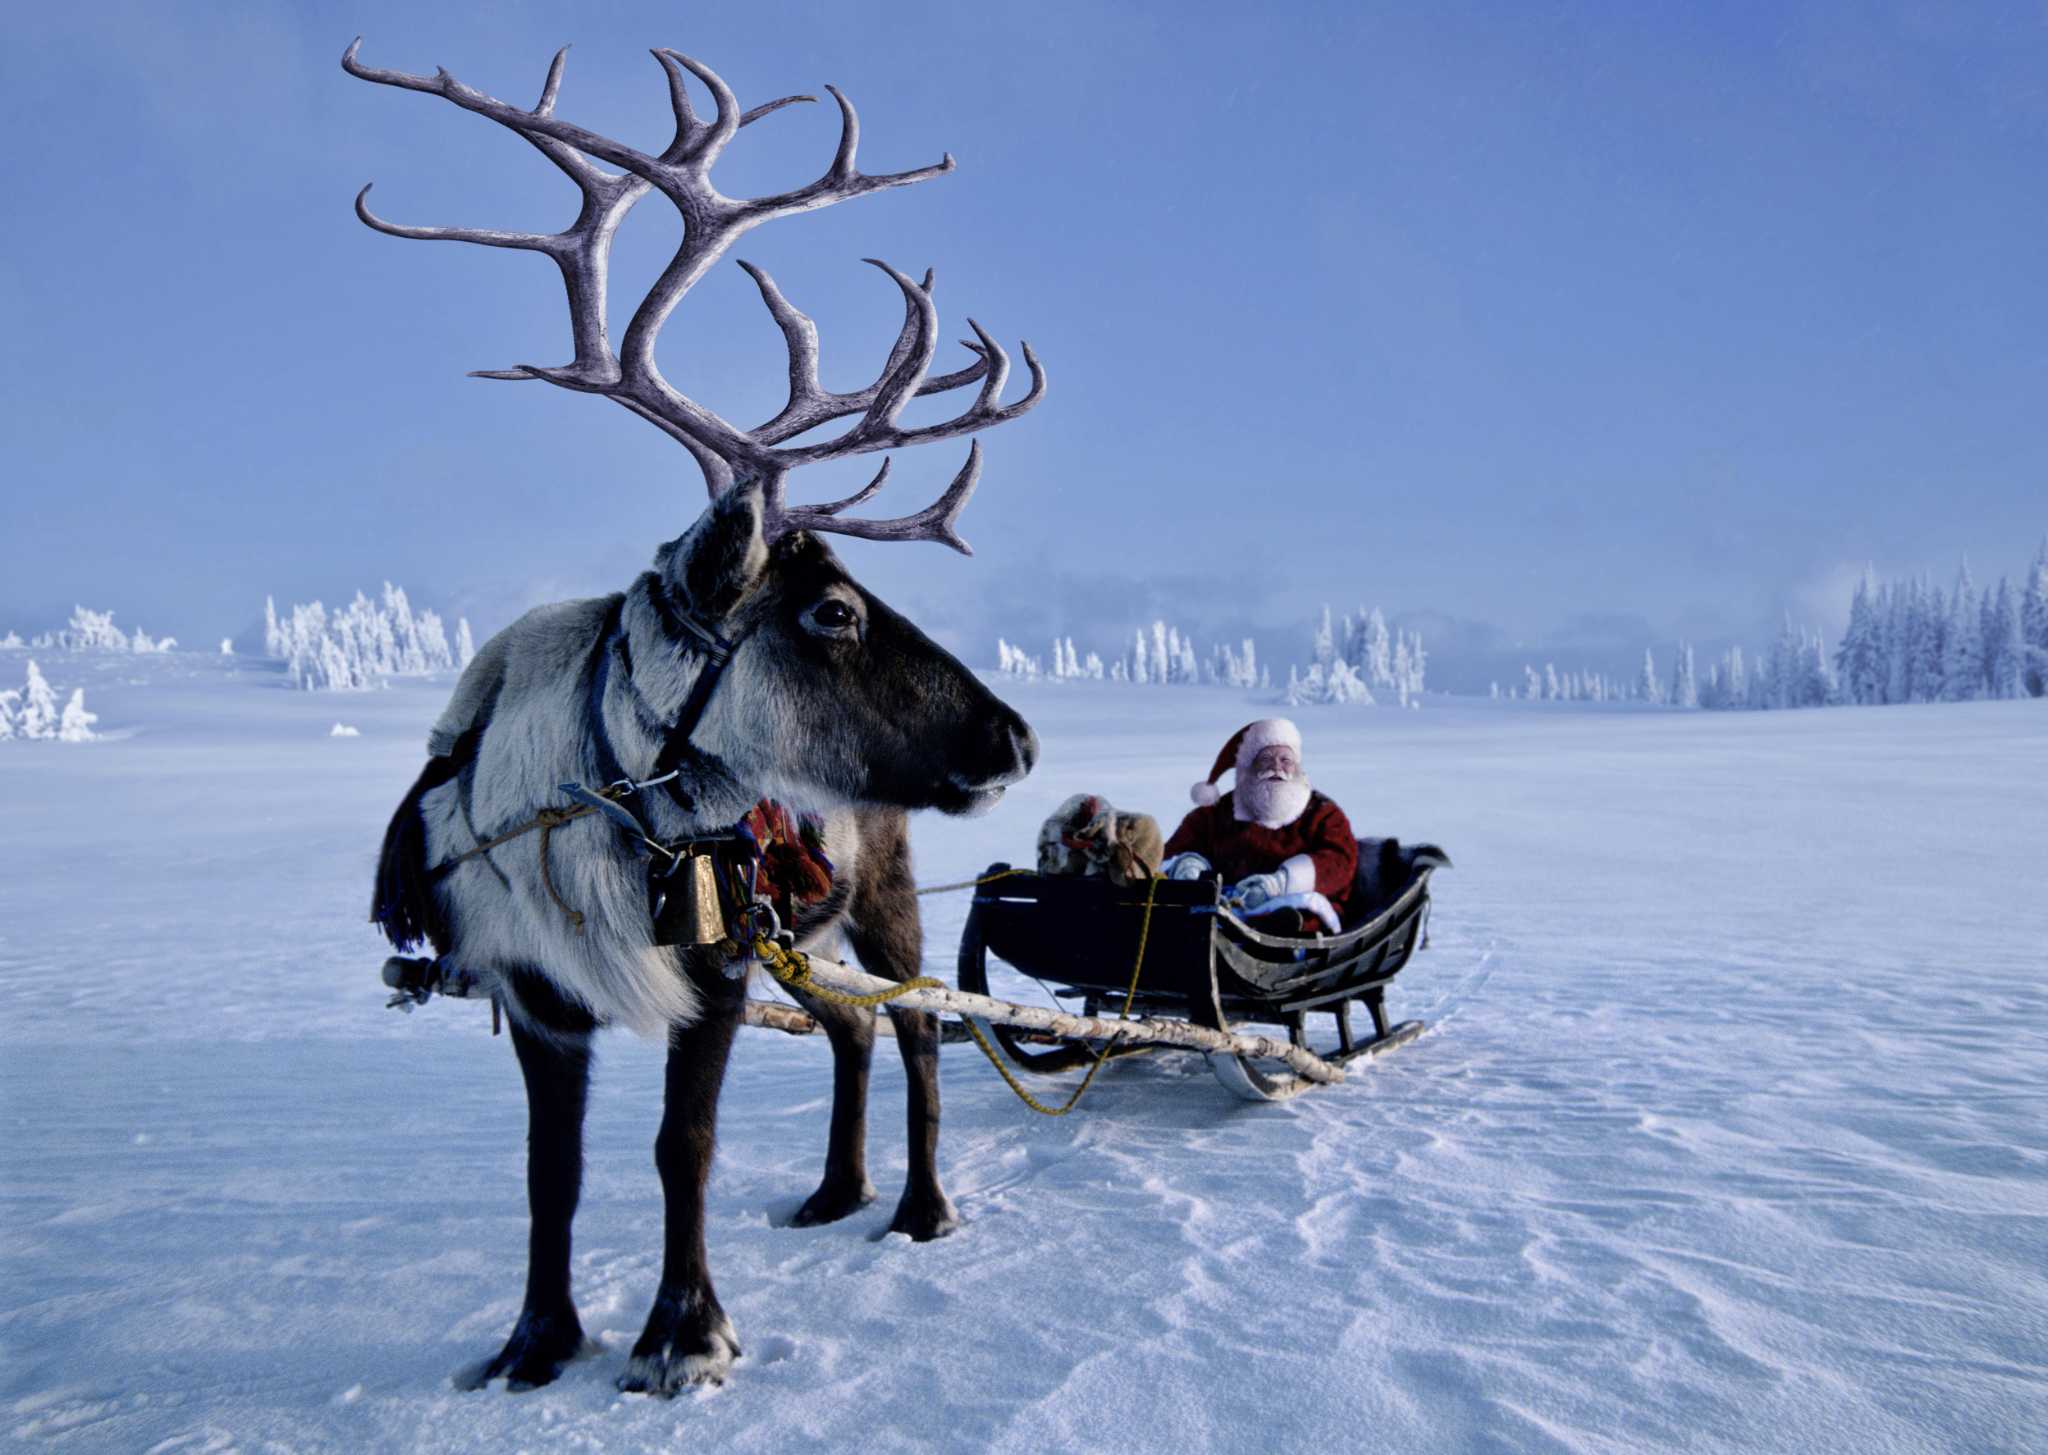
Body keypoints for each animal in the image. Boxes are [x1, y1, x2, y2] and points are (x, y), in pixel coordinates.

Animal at [344, 37, 1044, 1395]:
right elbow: (549, 1173)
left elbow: (686, 1144)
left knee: (918, 1024)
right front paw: (535, 1341)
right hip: (803, 937)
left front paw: (685, 1334)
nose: (1017, 739)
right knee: (851, 1032)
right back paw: (835, 1192)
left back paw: (920, 1208)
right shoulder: (534, 995)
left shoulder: (713, 968)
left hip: (881, 896)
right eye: (830, 611)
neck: (583, 813)